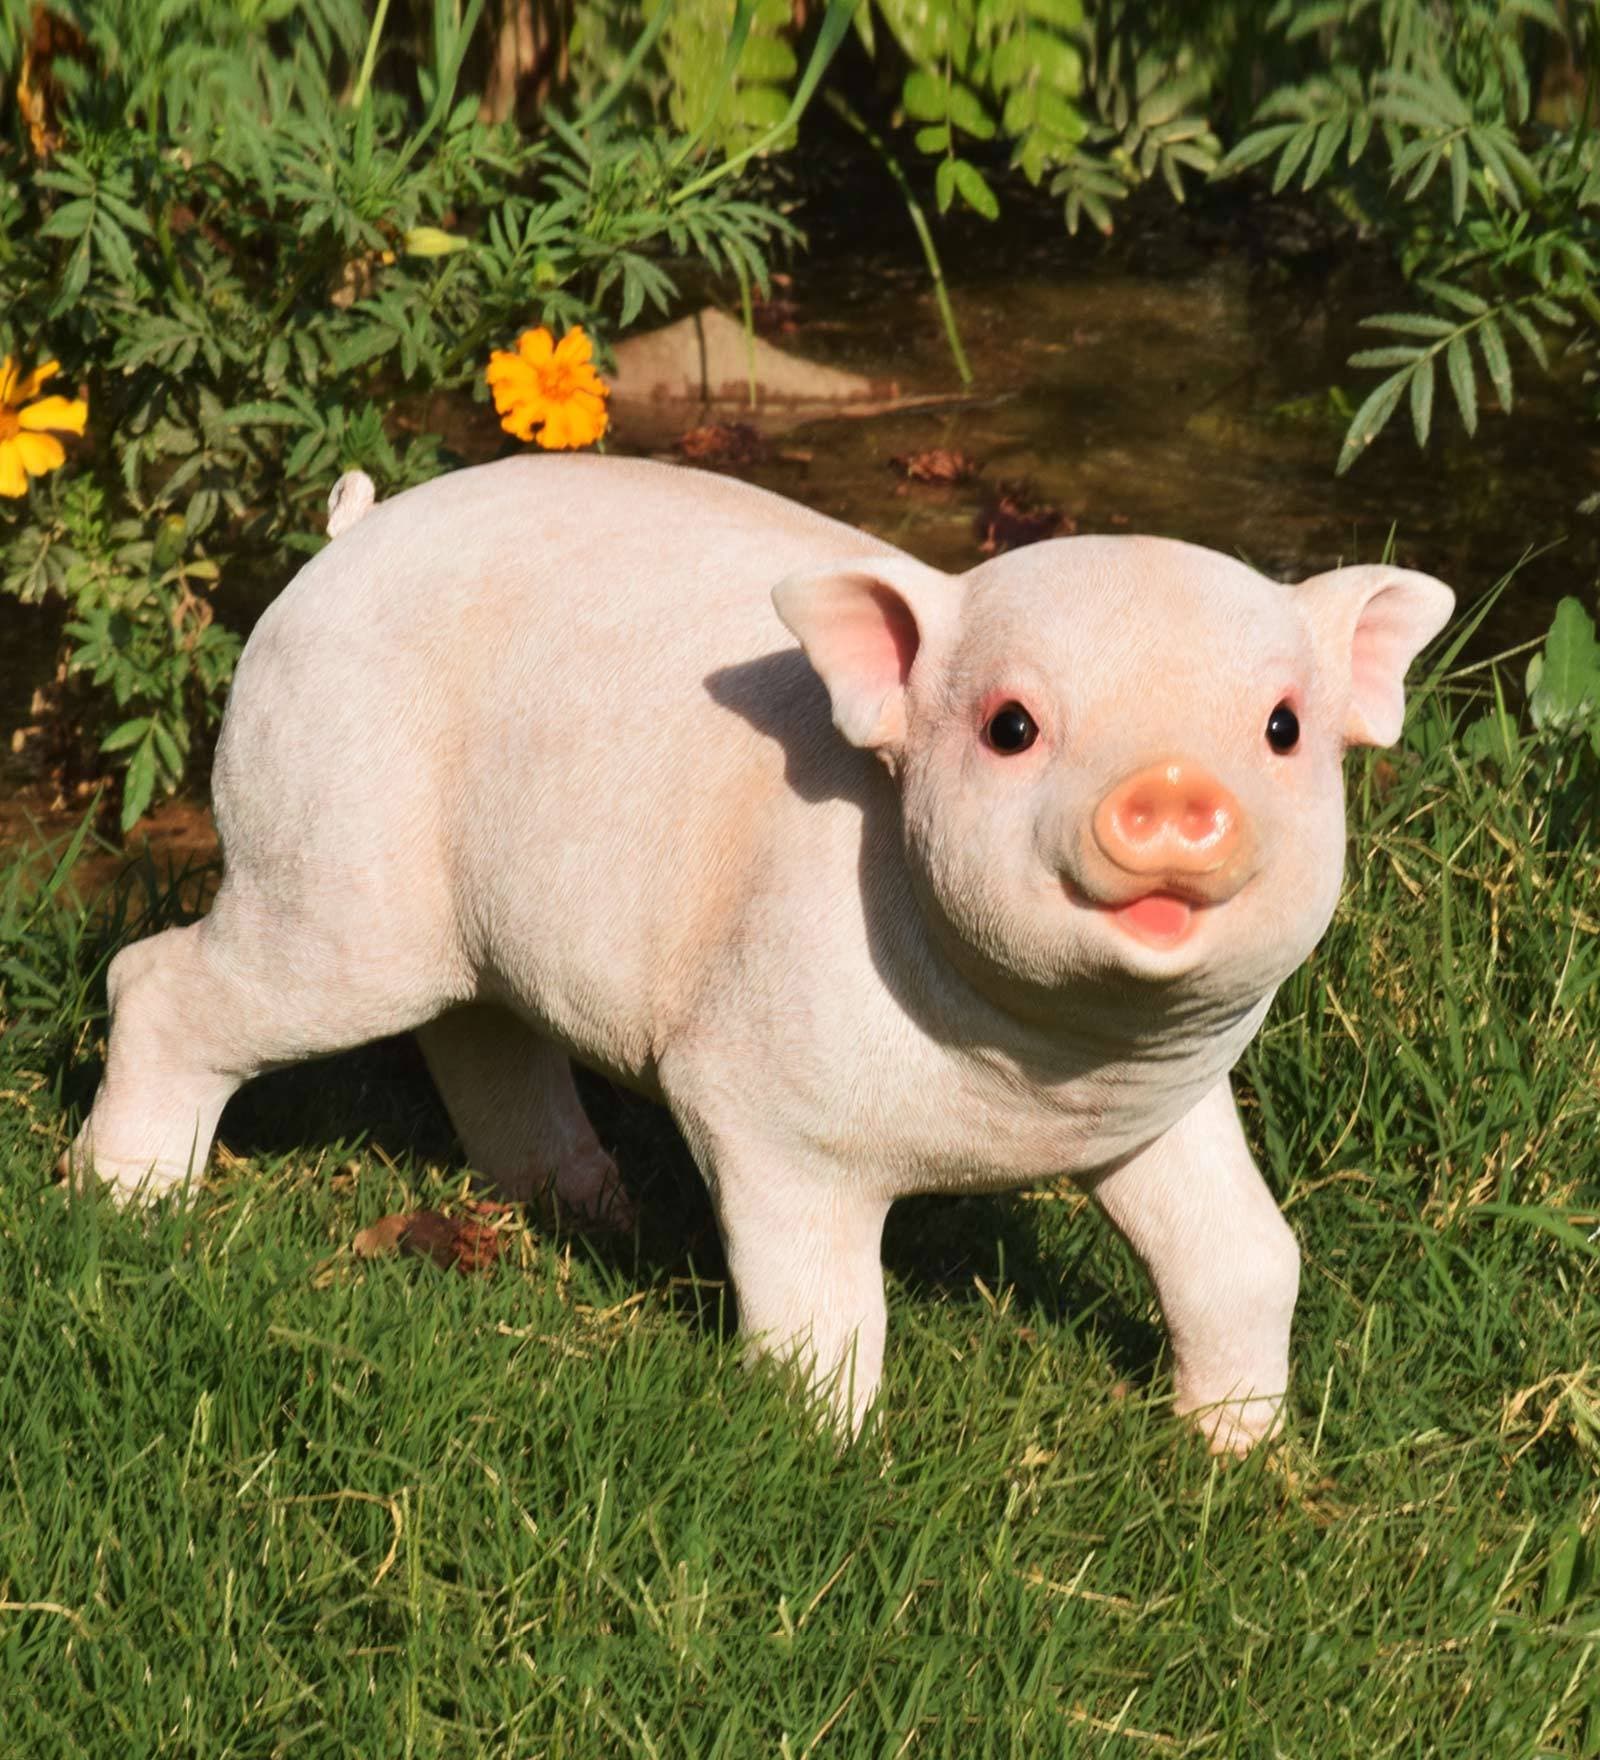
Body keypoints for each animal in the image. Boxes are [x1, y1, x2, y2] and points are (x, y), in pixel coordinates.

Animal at [66, 455, 1453, 1452]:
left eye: (1282, 729)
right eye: (1010, 726)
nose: (1172, 788)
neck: (1039, 1081)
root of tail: (346, 539)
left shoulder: (1163, 1106)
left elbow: (1247, 1256)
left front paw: (1241, 1455)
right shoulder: (762, 1104)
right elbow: (823, 1310)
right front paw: (824, 1452)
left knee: (481, 1031)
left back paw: (591, 1208)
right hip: (328, 870)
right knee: (161, 980)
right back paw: (126, 1199)